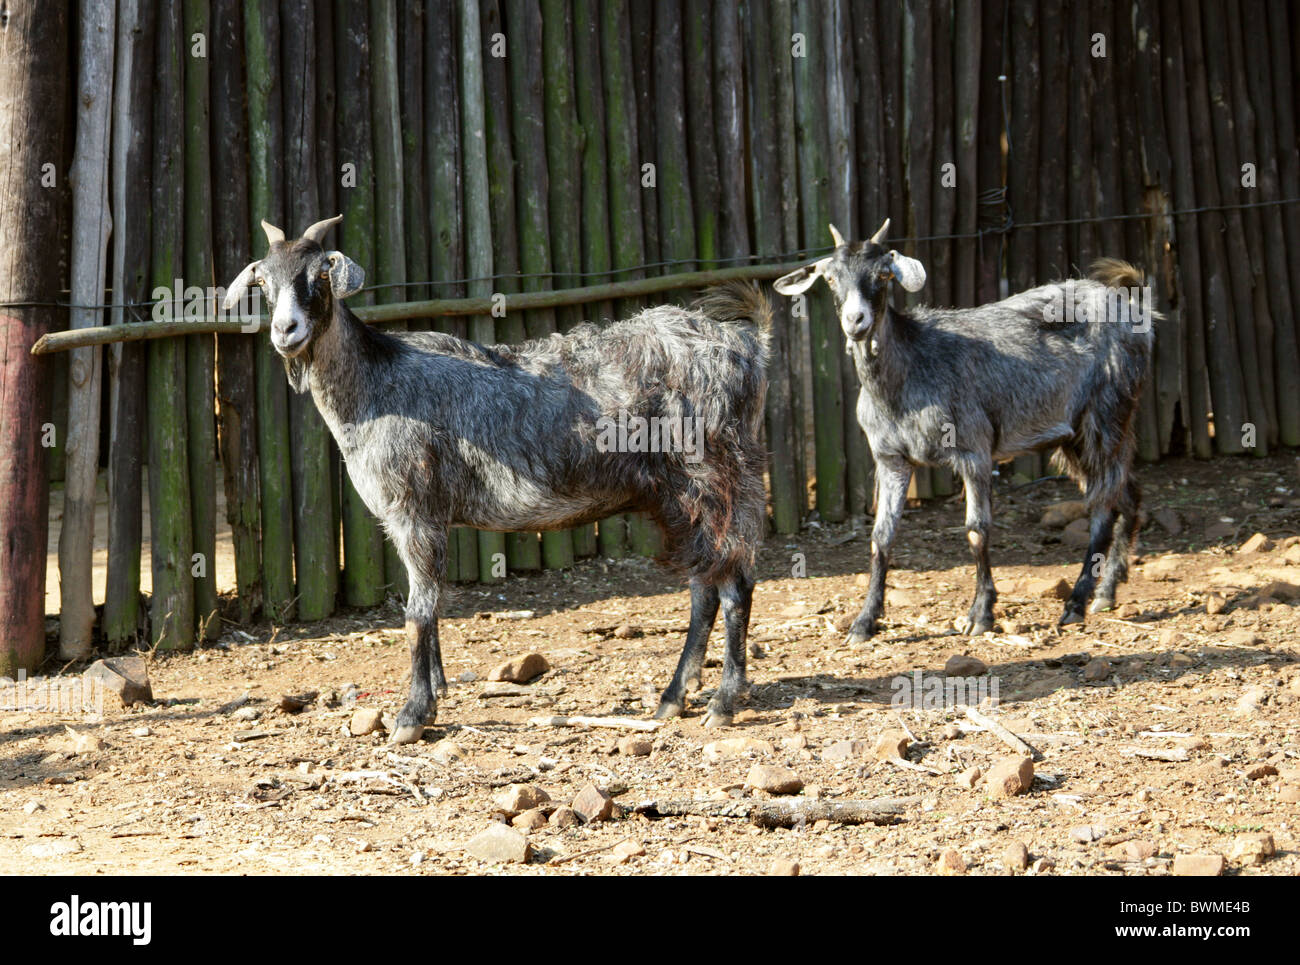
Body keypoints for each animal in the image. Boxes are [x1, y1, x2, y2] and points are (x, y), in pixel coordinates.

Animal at [223, 216, 771, 742]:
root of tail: (747, 344)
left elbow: (418, 611)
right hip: (678, 497)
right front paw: (437, 690)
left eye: (320, 274)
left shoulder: (415, 511)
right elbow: (433, 606)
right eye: (263, 281)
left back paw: (723, 703)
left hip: (718, 477)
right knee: (704, 585)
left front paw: (412, 716)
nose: (286, 330)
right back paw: (674, 697)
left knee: (735, 584)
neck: (376, 385)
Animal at [774, 219, 1154, 643]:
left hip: (1105, 414)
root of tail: (1132, 306)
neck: (906, 375)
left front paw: (980, 614)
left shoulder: (974, 449)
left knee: (1104, 507)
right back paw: (1106, 592)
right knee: (1127, 493)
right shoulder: (891, 459)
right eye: (830, 278)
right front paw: (864, 622)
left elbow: (976, 530)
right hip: (1076, 434)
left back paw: (1075, 604)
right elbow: (881, 536)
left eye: (883, 275)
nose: (856, 322)